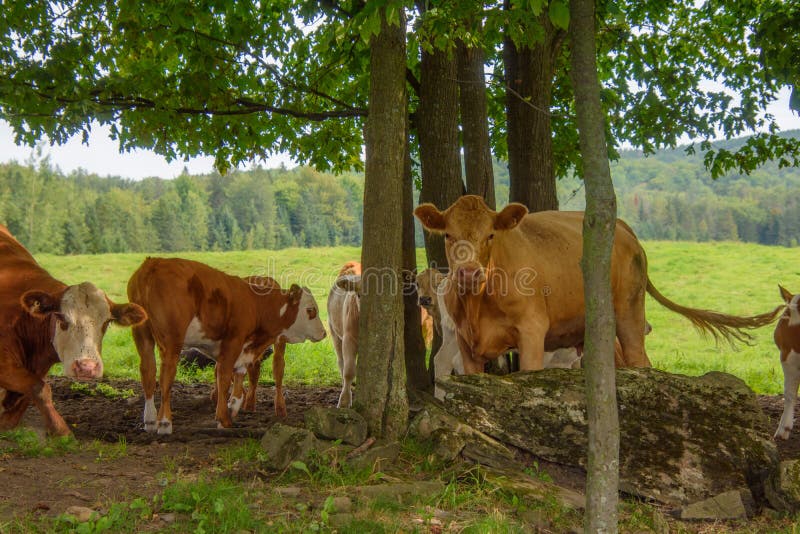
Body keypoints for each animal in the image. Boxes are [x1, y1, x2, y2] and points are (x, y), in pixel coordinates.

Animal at [0, 225, 146, 436]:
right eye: (61, 317)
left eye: (107, 322)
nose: (86, 367)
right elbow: (39, 388)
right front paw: (61, 431)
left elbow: (27, 395)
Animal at [127, 257, 325, 434]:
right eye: (310, 310)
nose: (324, 333)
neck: (255, 303)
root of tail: (153, 263)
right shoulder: (233, 342)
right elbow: (223, 378)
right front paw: (223, 418)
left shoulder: (238, 349)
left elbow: (236, 379)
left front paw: (232, 408)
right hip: (172, 340)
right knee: (166, 377)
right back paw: (165, 423)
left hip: (142, 334)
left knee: (148, 372)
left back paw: (150, 421)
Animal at [414, 196, 781, 374]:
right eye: (448, 235)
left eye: (491, 234)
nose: (468, 272)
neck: (480, 302)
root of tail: (623, 227)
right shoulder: (466, 343)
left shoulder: (532, 332)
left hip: (629, 313)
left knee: (640, 362)